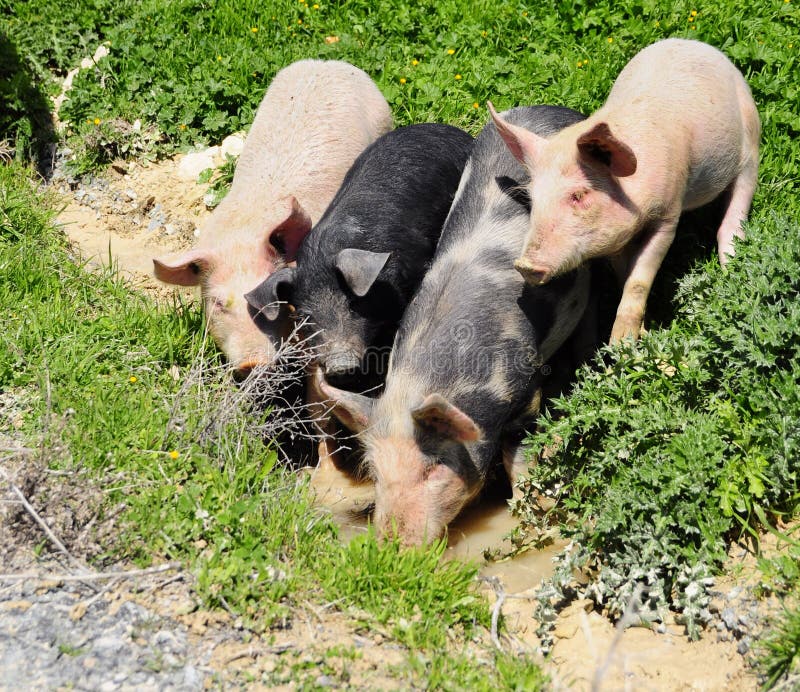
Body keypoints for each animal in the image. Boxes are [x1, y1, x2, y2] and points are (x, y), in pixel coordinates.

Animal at [315, 106, 593, 545]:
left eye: (433, 467)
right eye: (376, 474)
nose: (393, 546)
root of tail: (545, 111)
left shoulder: (526, 395)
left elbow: (518, 458)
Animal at [489, 38, 760, 342]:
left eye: (579, 195)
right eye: (533, 200)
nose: (524, 264)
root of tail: (695, 43)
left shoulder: (669, 212)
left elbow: (639, 278)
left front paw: (622, 342)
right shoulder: (616, 238)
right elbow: (625, 272)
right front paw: (641, 331)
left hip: (752, 141)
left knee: (734, 218)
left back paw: (730, 273)